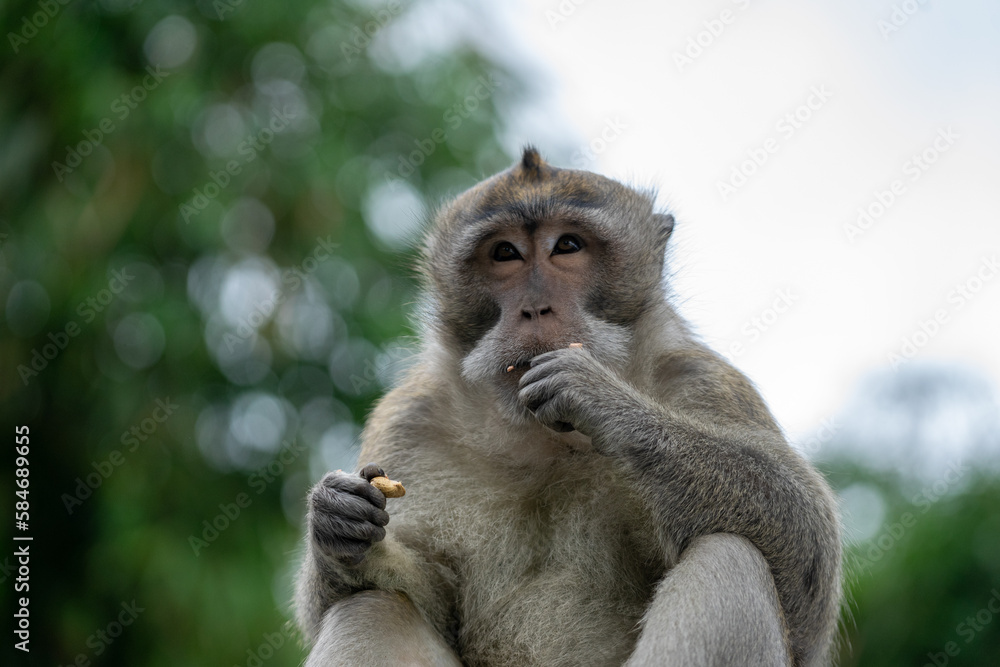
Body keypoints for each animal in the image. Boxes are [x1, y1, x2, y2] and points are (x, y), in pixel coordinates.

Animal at [295, 147, 842, 666]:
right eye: (505, 253)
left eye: (568, 246)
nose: (535, 308)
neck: (547, 437)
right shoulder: (409, 420)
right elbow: (428, 596)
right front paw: (336, 525)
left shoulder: (702, 379)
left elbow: (806, 565)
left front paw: (600, 397)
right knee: (372, 606)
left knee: (729, 556)